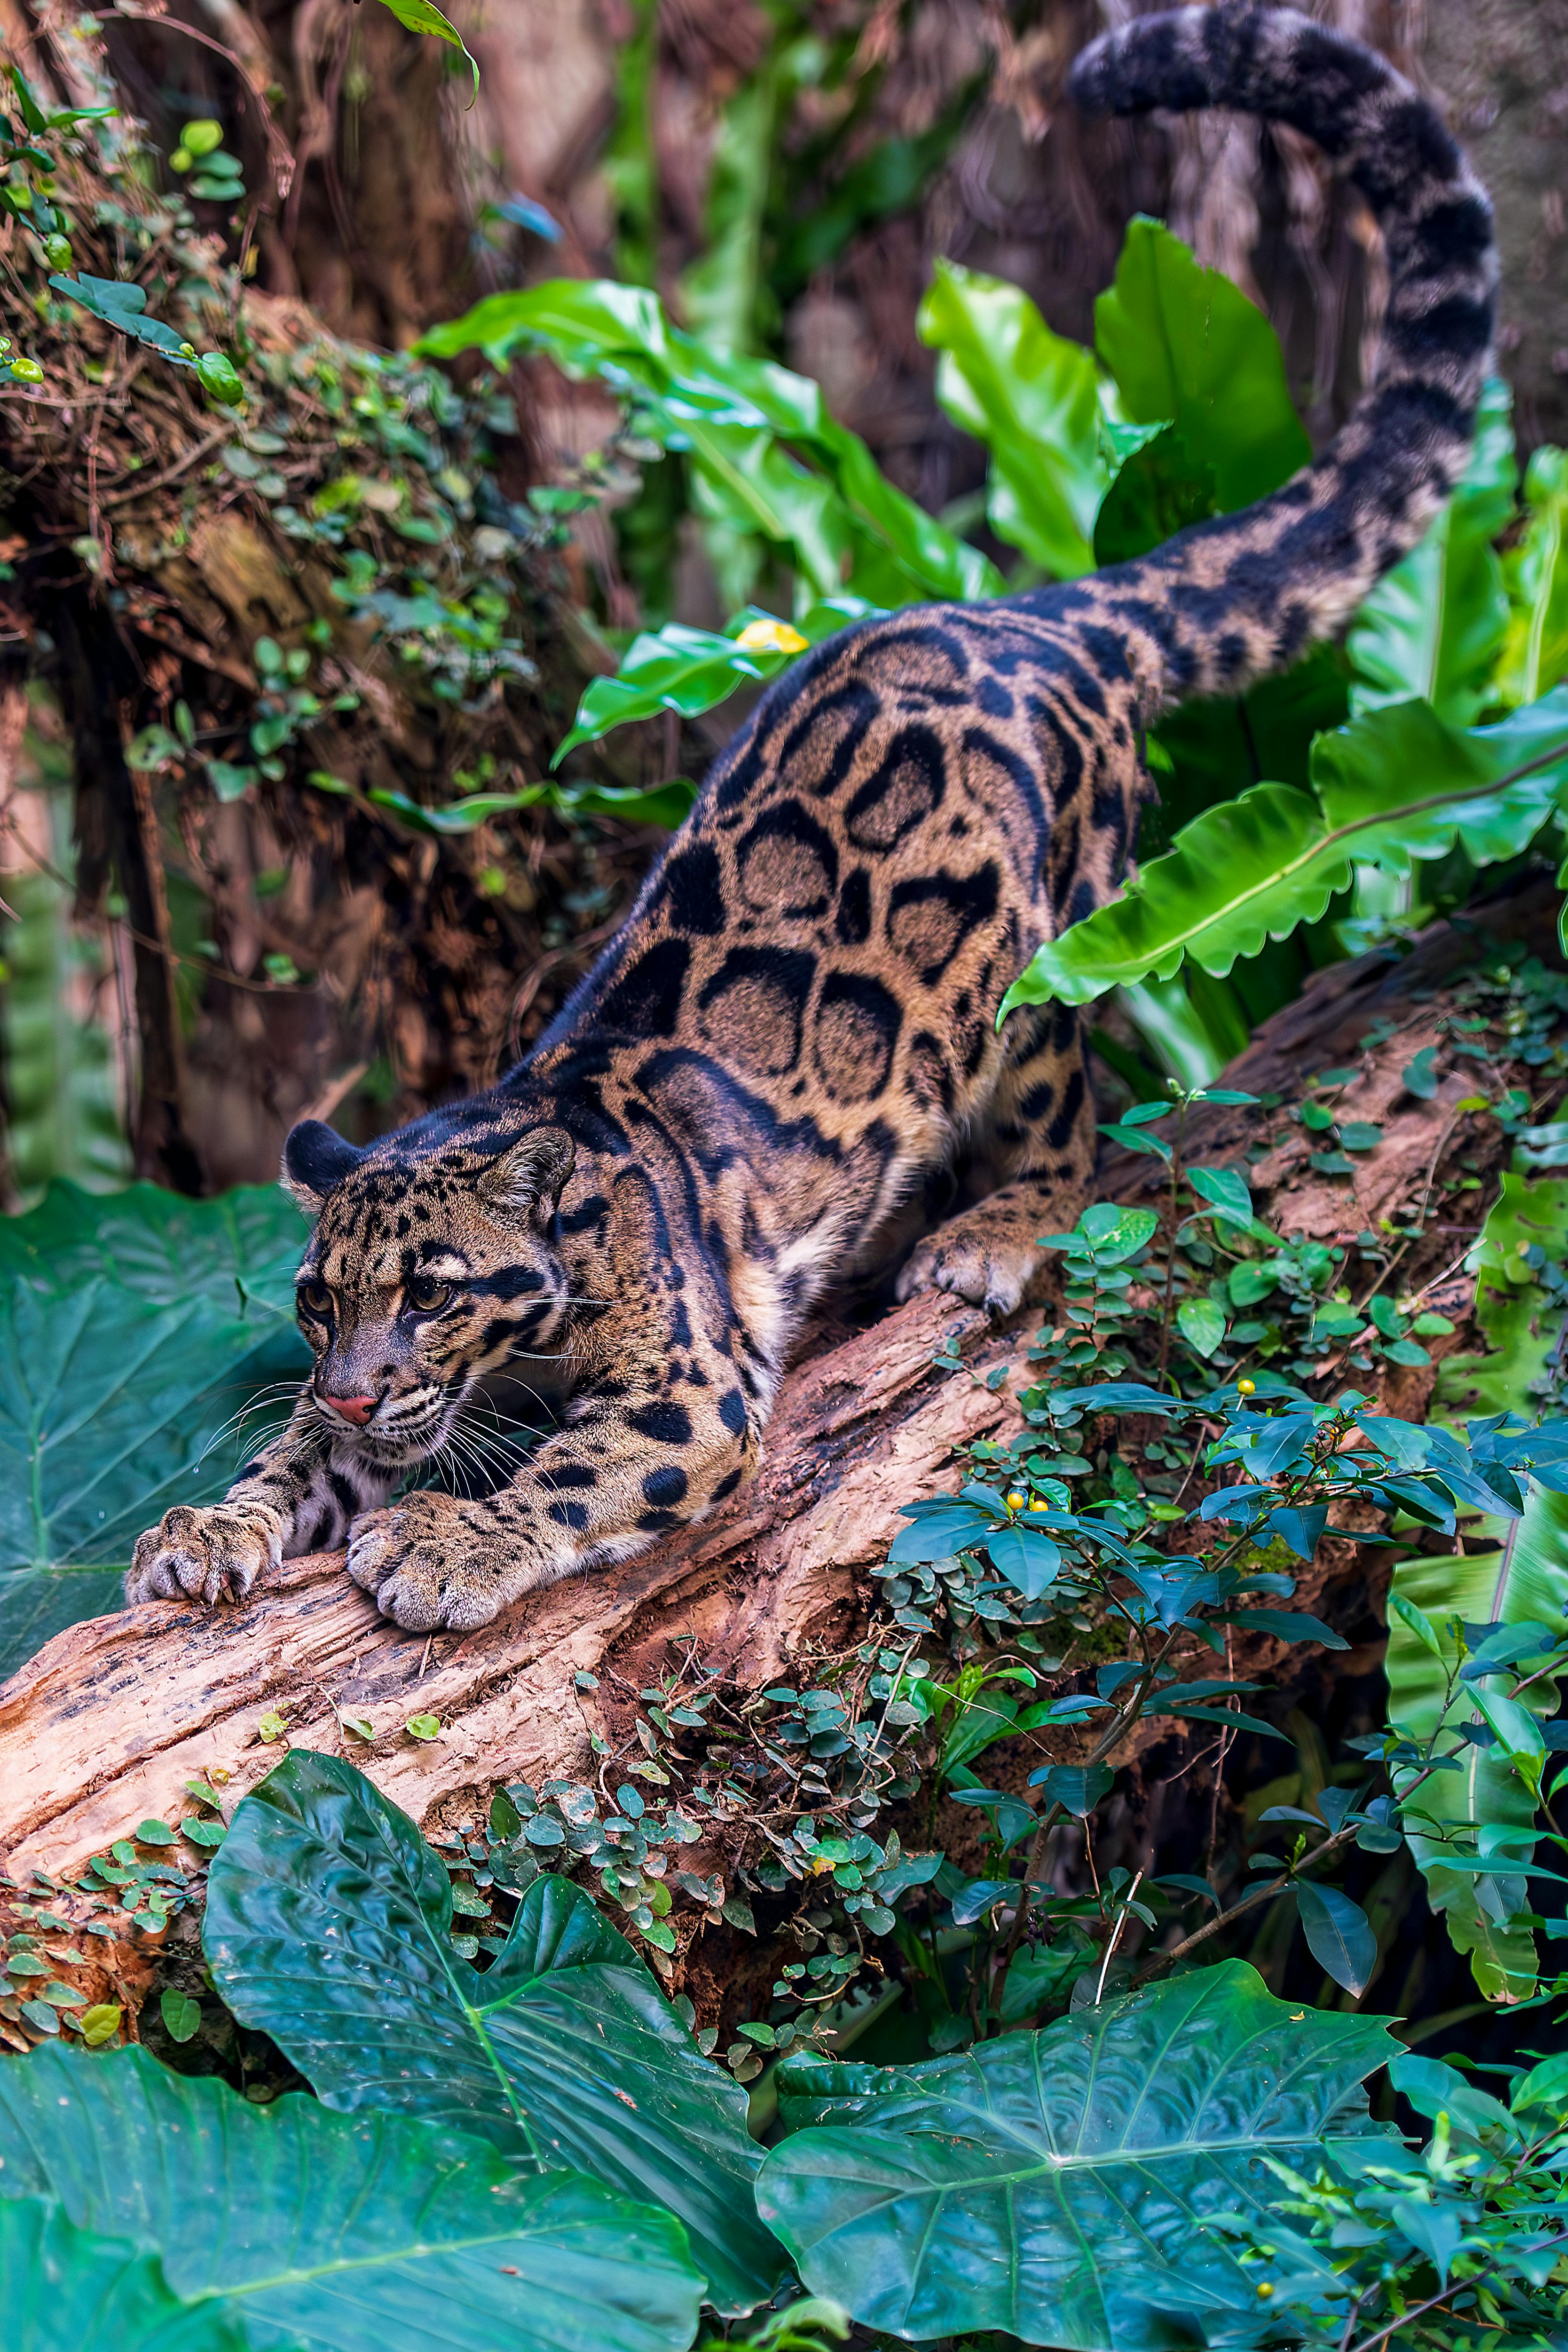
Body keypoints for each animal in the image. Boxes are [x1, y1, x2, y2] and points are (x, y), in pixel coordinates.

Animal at [129, 4, 1497, 1635]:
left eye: (432, 1291)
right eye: (317, 1298)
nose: (349, 1385)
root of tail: (1024, 609)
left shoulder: (690, 1392)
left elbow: (561, 1475)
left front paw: (445, 1542)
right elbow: (290, 1459)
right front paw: (211, 1520)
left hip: (1039, 978)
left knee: (1070, 1120)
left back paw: (986, 1236)